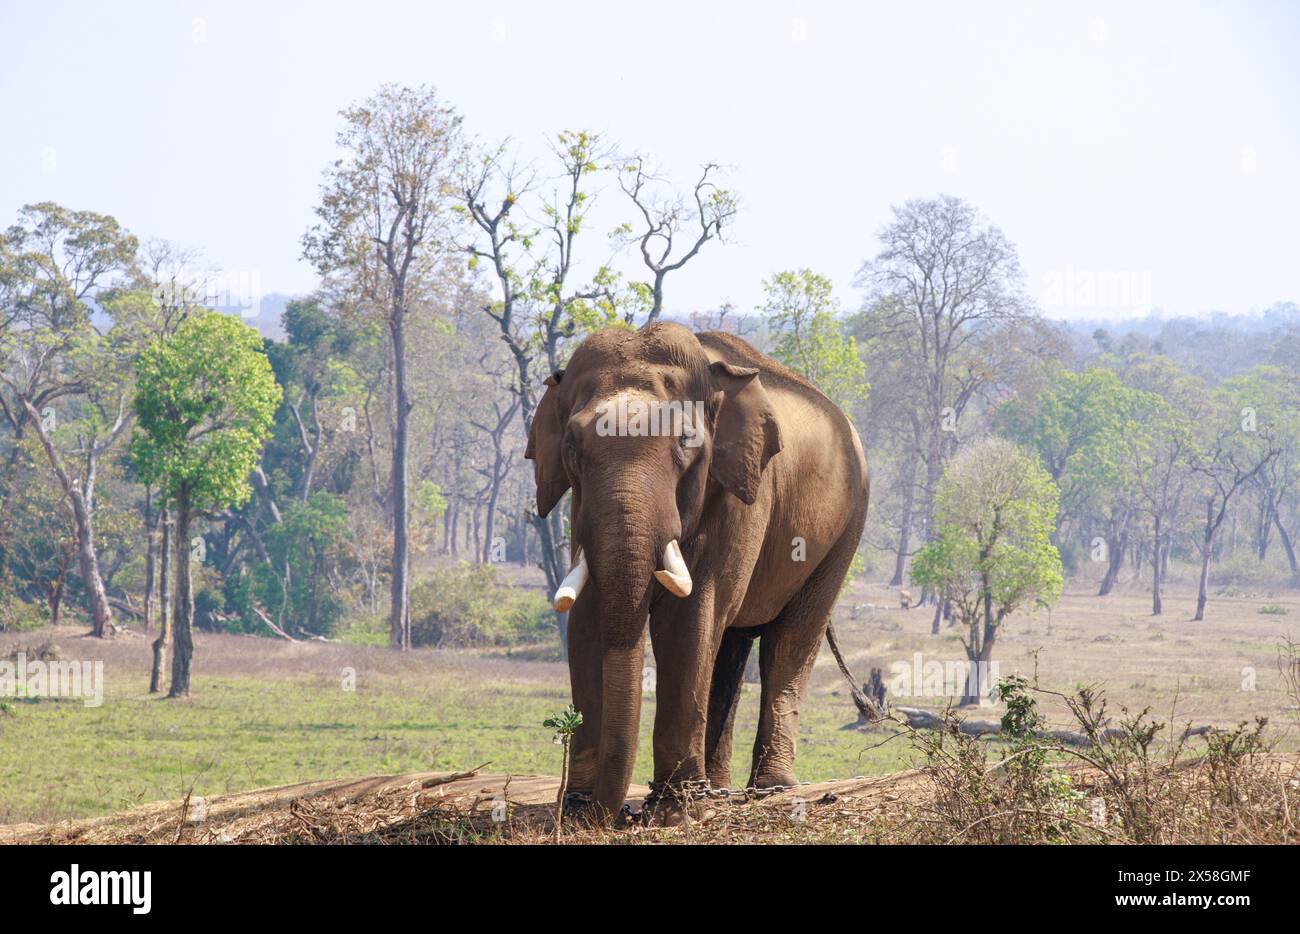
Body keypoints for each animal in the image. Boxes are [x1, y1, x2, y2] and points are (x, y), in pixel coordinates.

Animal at [525, 321, 870, 824]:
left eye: (687, 443)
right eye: (571, 447)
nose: (615, 813)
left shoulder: (738, 495)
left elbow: (689, 618)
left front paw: (673, 813)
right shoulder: (580, 510)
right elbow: (587, 618)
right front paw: (576, 812)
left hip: (848, 525)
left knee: (791, 638)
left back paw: (770, 790)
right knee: (730, 647)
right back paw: (719, 791)